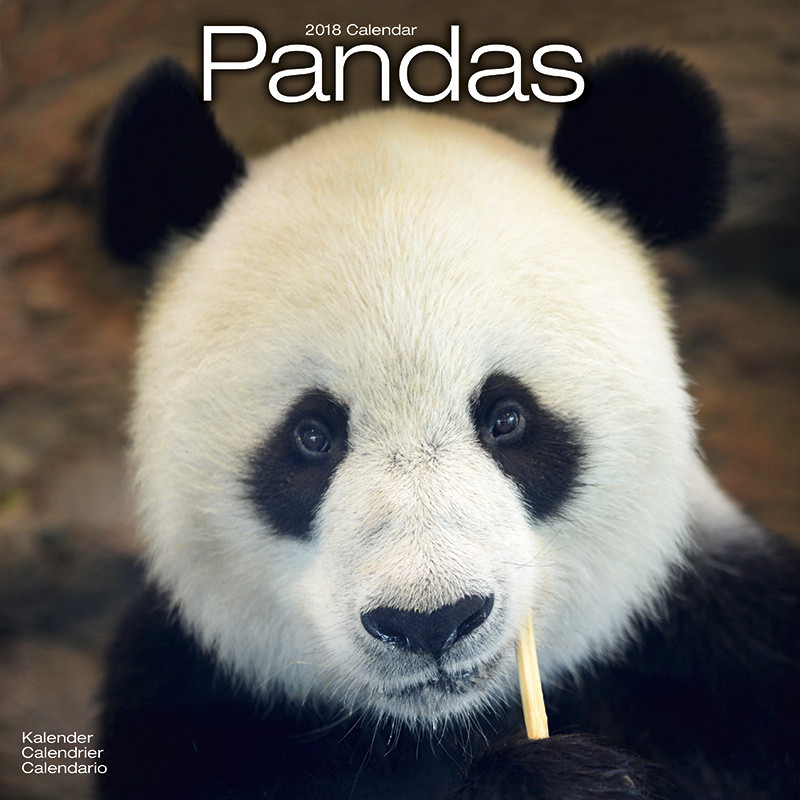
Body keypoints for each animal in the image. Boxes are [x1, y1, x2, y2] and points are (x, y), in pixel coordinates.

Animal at [95, 50, 800, 800]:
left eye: (508, 419)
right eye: (311, 436)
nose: (430, 621)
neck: (443, 727)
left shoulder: (730, 659)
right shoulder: (189, 709)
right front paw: (548, 779)